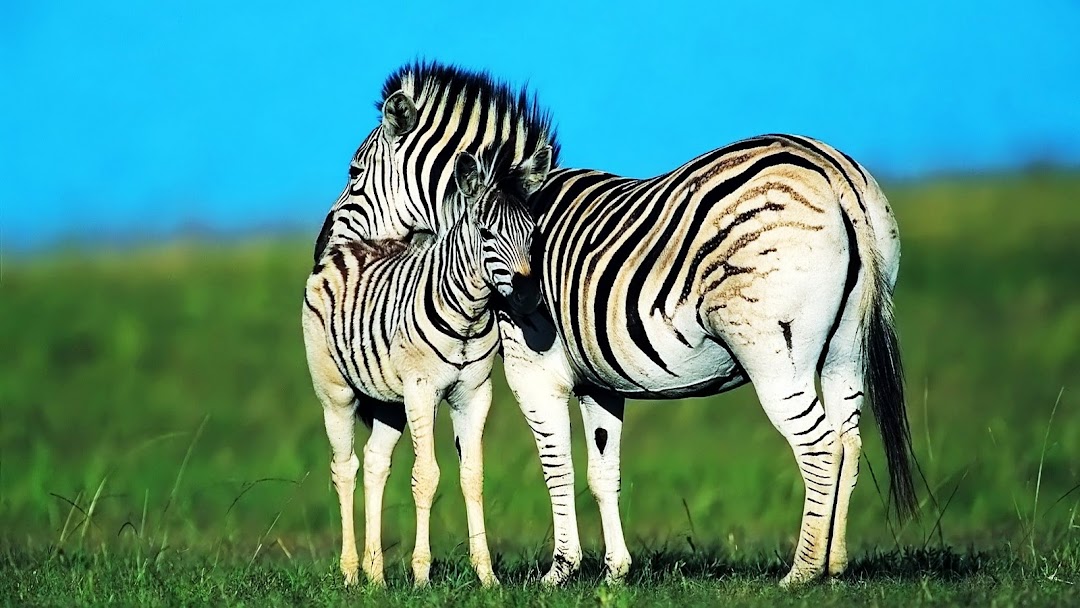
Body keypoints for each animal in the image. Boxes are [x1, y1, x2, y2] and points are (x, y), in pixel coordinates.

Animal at [302, 143, 553, 587]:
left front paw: (486, 576)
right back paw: (350, 574)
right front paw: (421, 575)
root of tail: (346, 248)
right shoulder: (422, 390)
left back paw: (375, 576)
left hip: (387, 402)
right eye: (486, 233)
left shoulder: (474, 393)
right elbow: (426, 476)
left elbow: (472, 475)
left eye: (533, 235)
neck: (468, 313)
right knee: (344, 468)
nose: (526, 297)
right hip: (336, 392)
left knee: (375, 465)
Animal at [495, 133, 916, 586]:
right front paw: (614, 572)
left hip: (773, 352)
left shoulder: (532, 368)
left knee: (819, 444)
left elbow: (557, 468)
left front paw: (559, 571)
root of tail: (831, 169)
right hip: (847, 348)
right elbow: (602, 472)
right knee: (849, 439)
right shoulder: (599, 381)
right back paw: (834, 565)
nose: (526, 293)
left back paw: (801, 572)